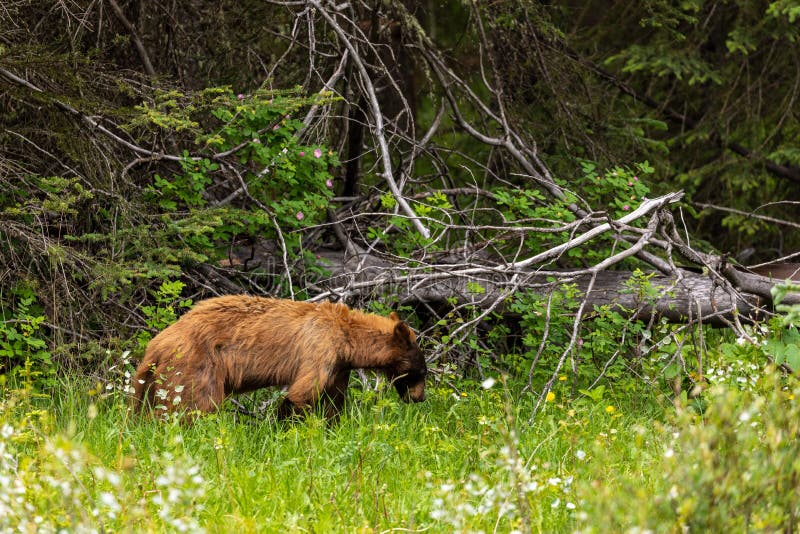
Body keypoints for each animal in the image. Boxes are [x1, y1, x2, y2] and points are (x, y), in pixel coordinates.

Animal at [133, 295, 426, 419]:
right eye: (421, 372)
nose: (420, 398)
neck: (347, 338)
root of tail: (156, 344)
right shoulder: (320, 350)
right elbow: (300, 395)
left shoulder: (339, 366)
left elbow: (333, 401)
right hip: (195, 365)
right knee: (194, 404)